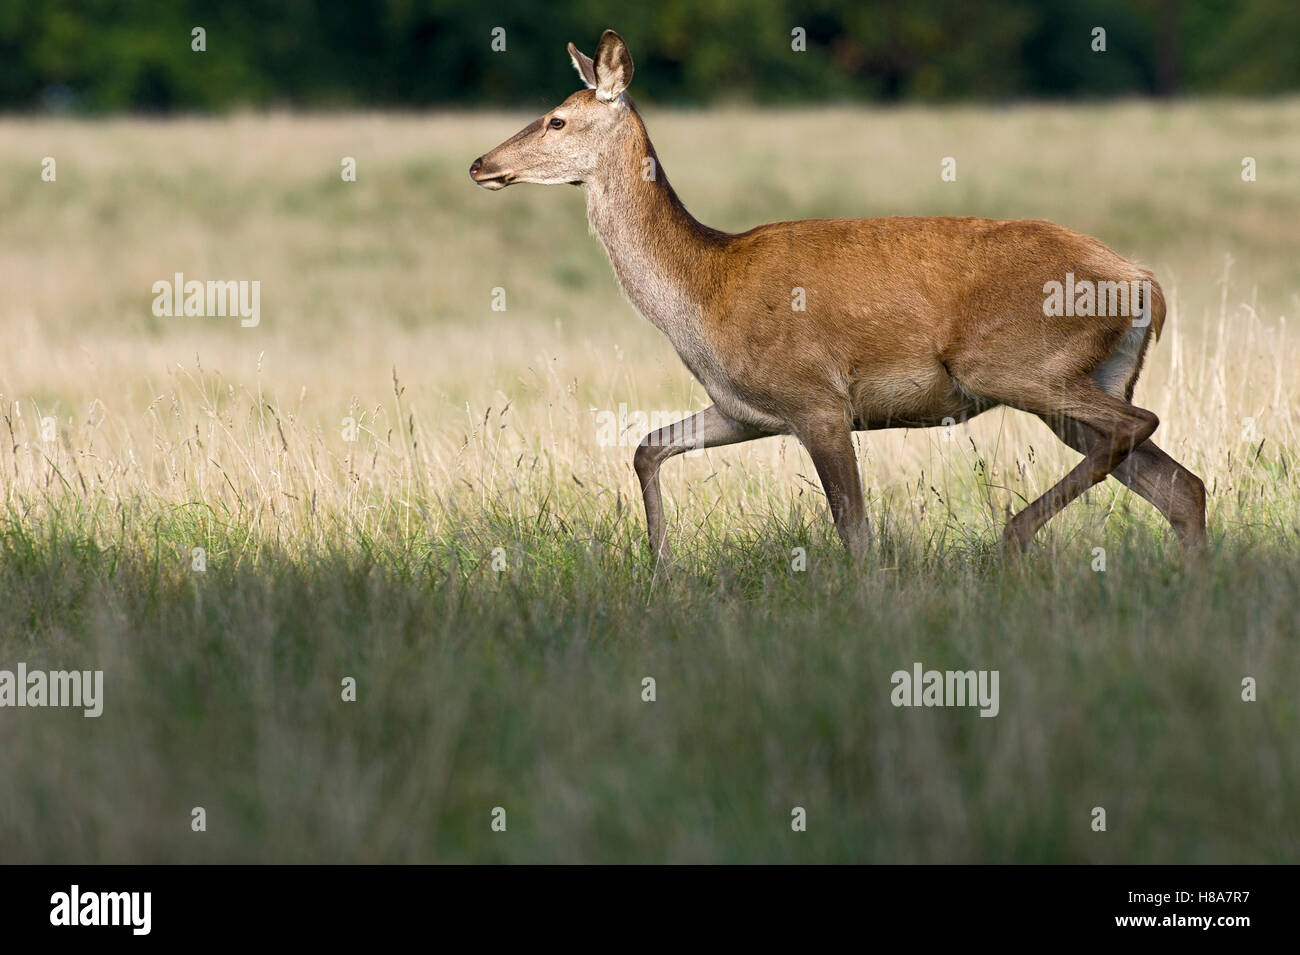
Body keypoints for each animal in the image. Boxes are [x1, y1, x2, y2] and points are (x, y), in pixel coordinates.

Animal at [469, 29, 1208, 563]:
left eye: (557, 120)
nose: (480, 163)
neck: (703, 292)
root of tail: (1145, 283)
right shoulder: (744, 408)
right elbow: (646, 447)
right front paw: (662, 571)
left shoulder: (817, 398)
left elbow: (855, 532)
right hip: (1088, 377)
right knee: (1183, 487)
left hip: (1013, 362)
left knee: (1144, 430)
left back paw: (1014, 533)